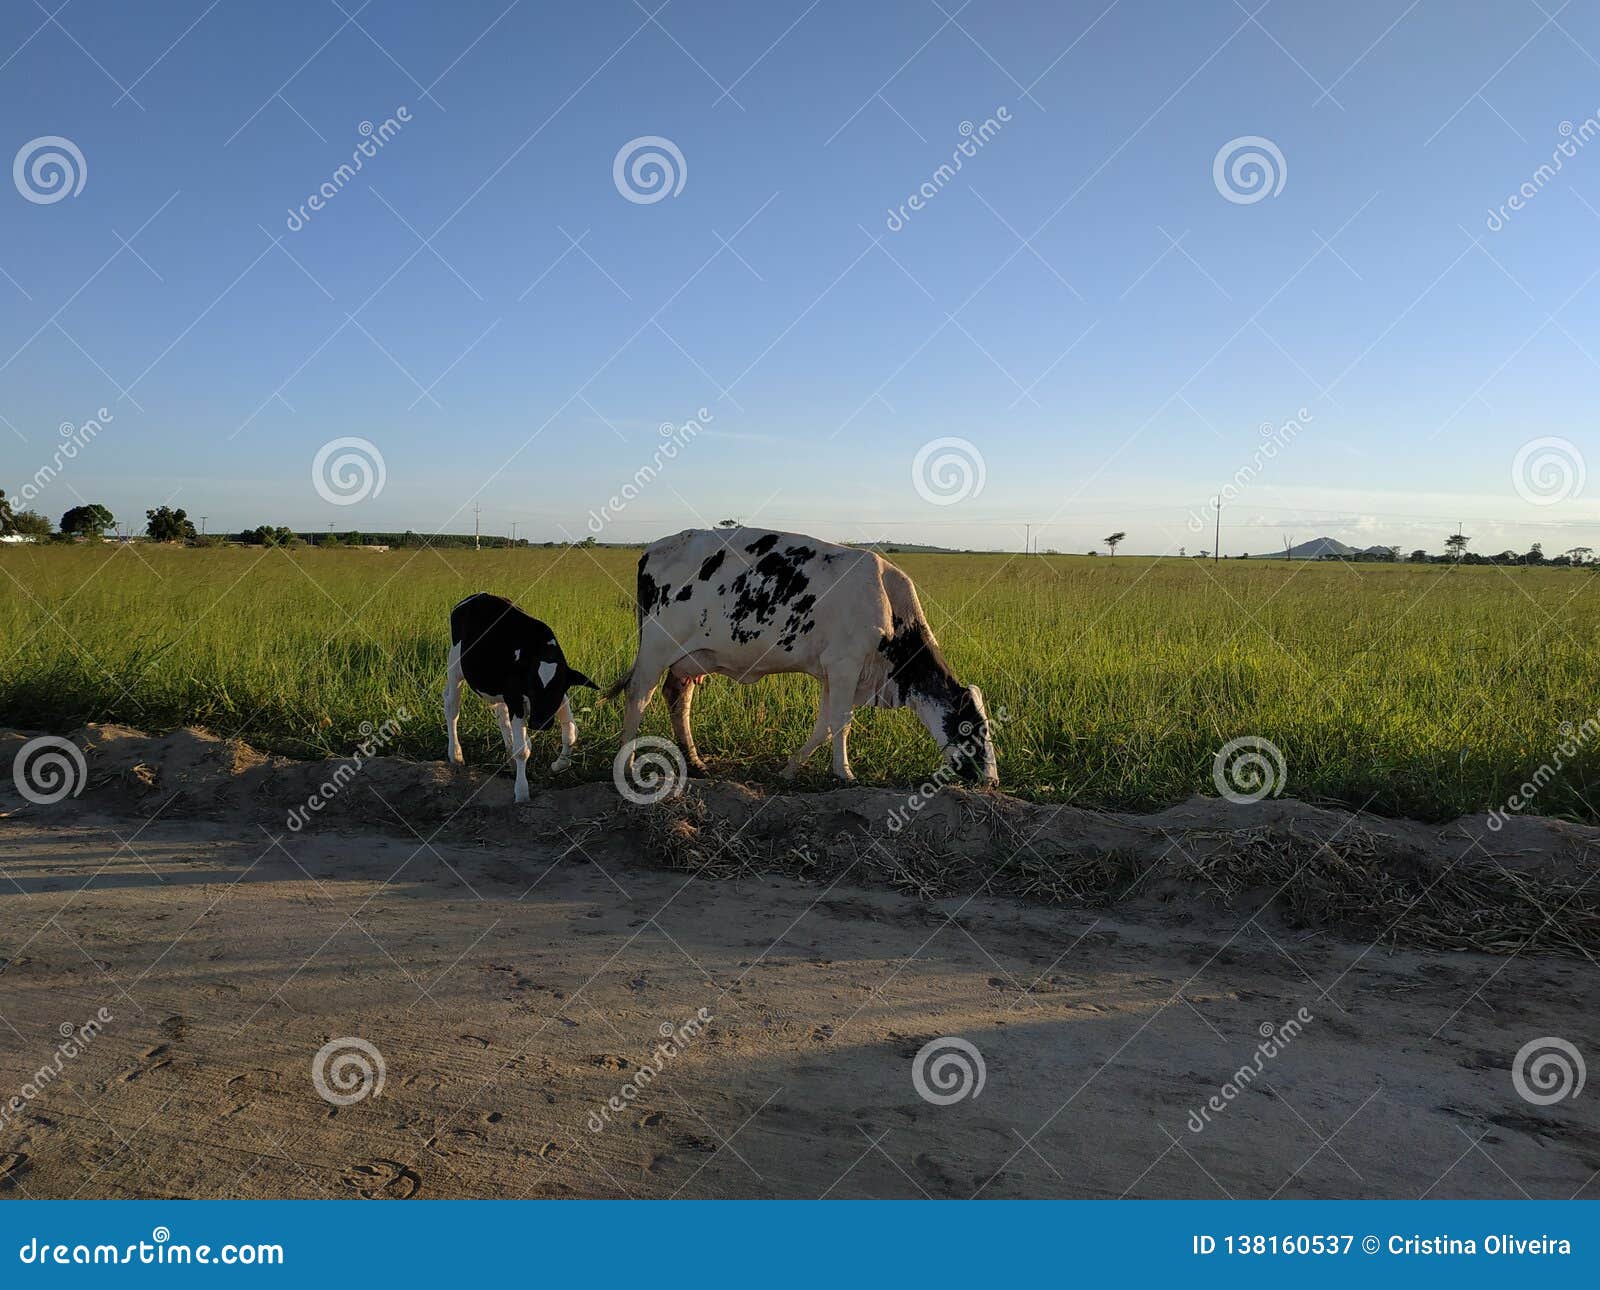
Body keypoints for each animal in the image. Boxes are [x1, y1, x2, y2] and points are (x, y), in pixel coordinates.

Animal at [444, 593, 597, 803]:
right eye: (532, 686)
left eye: (557, 689)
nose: (539, 723)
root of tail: (476, 595)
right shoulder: (515, 698)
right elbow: (523, 750)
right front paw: (522, 792)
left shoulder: (559, 698)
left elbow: (571, 733)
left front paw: (558, 765)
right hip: (455, 667)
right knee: (452, 707)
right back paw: (456, 755)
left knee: (501, 715)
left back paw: (510, 757)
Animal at [605, 528, 998, 787]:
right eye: (970, 727)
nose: (992, 781)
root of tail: (654, 548)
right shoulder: (845, 665)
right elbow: (842, 723)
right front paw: (845, 773)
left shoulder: (833, 673)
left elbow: (824, 726)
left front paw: (790, 769)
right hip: (656, 649)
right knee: (639, 695)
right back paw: (628, 761)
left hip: (690, 658)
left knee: (677, 697)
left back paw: (696, 762)